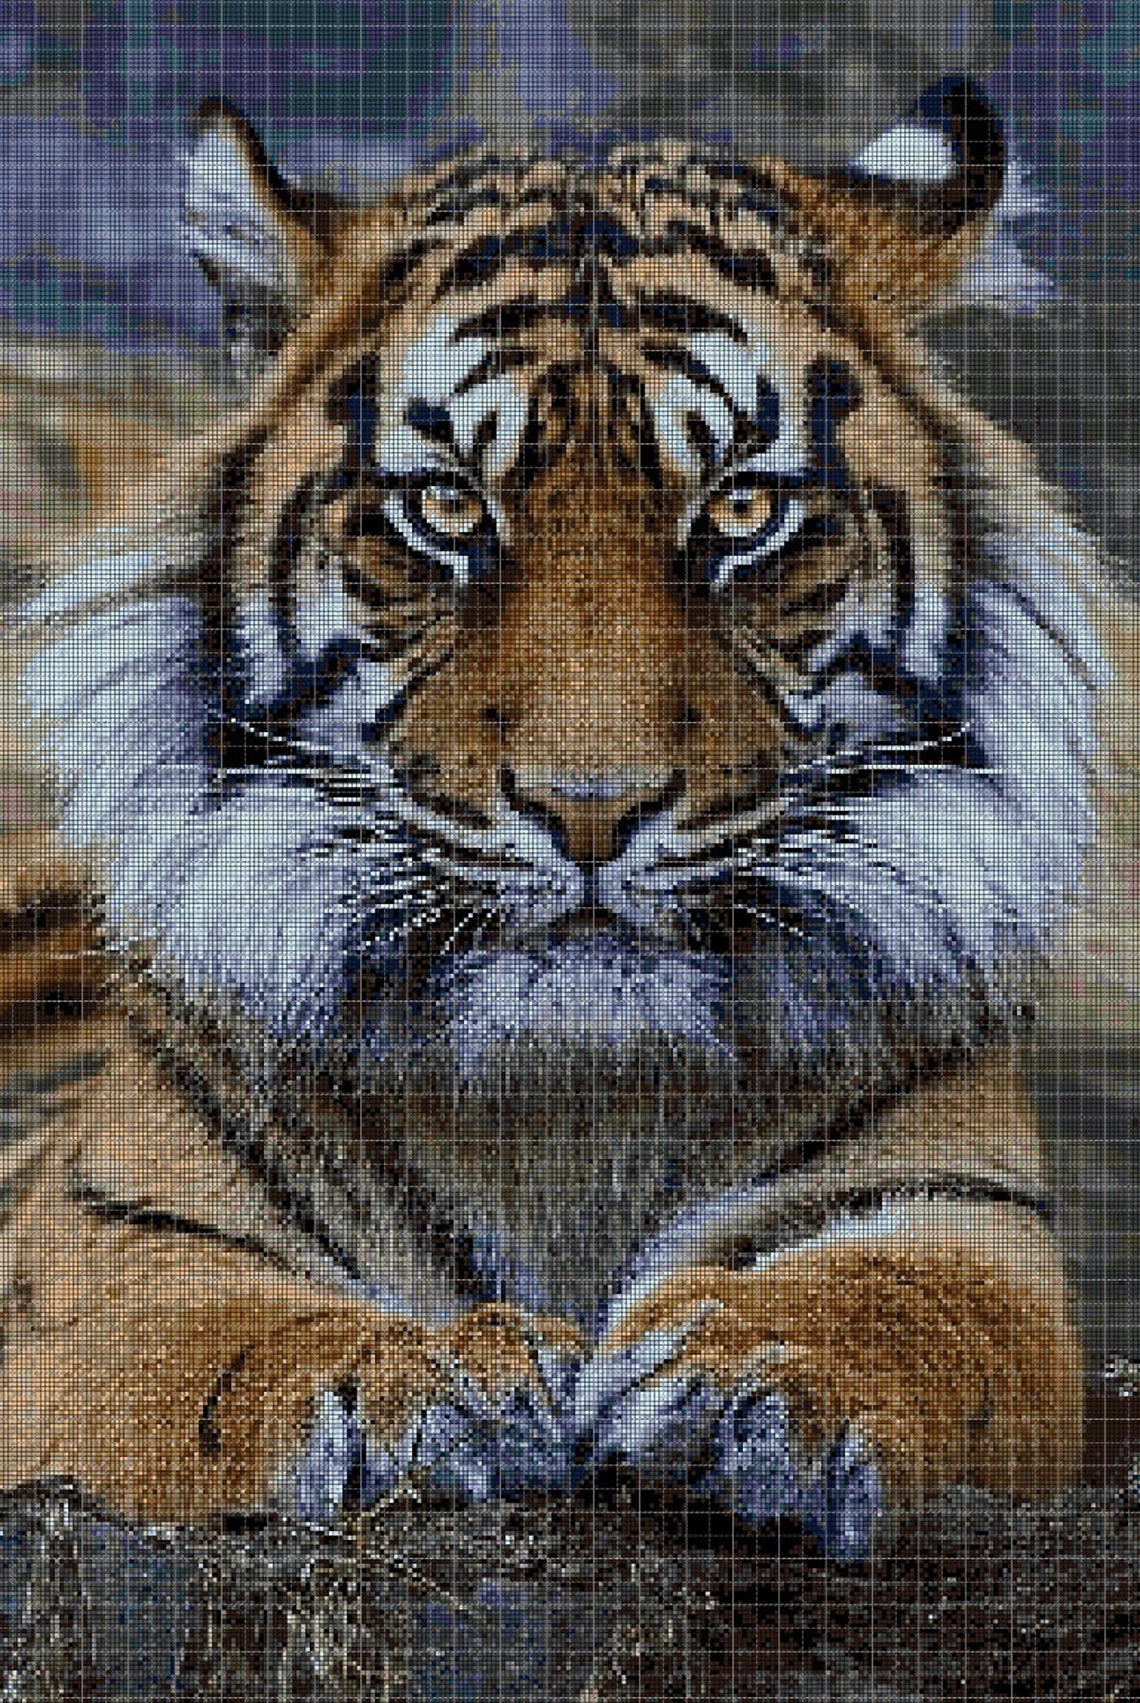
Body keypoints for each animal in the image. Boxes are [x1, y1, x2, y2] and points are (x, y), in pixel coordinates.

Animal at [0, 77, 1105, 1563]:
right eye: (446, 507)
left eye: (741, 508)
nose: (592, 810)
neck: (572, 1101)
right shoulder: (112, 1243)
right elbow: (201, 1345)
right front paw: (431, 1376)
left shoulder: (966, 1224)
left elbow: (911, 1312)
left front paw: (748, 1370)